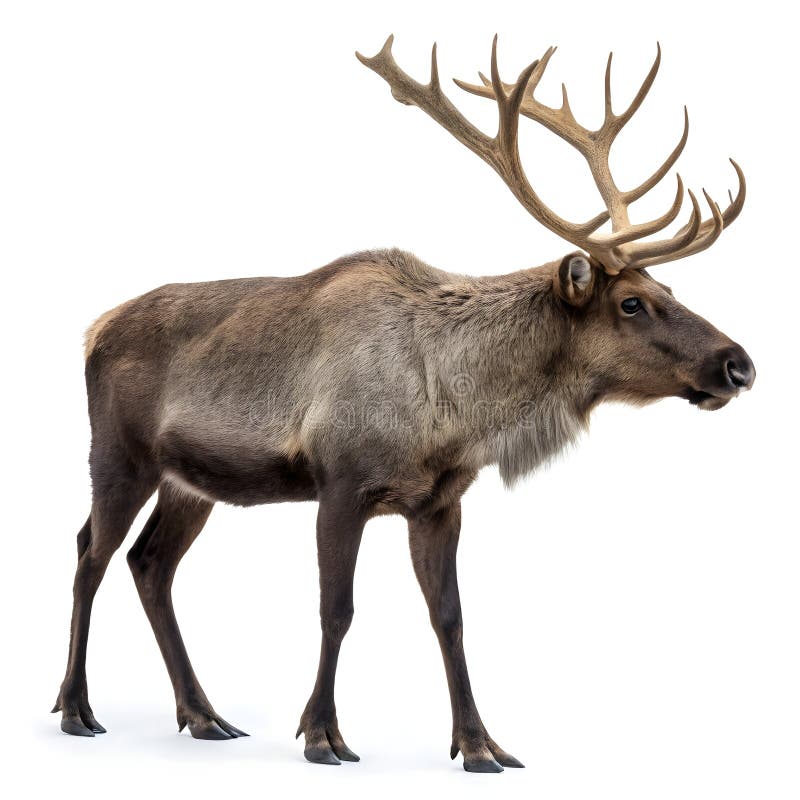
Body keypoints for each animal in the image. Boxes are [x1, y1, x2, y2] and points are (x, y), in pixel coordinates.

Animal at [53, 36, 755, 773]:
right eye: (632, 303)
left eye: (671, 289)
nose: (738, 364)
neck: (451, 414)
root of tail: (93, 330)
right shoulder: (341, 483)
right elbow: (337, 609)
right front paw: (322, 734)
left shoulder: (440, 500)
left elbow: (450, 616)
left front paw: (480, 744)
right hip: (118, 455)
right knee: (89, 553)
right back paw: (76, 708)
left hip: (190, 482)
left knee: (149, 563)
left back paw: (203, 714)